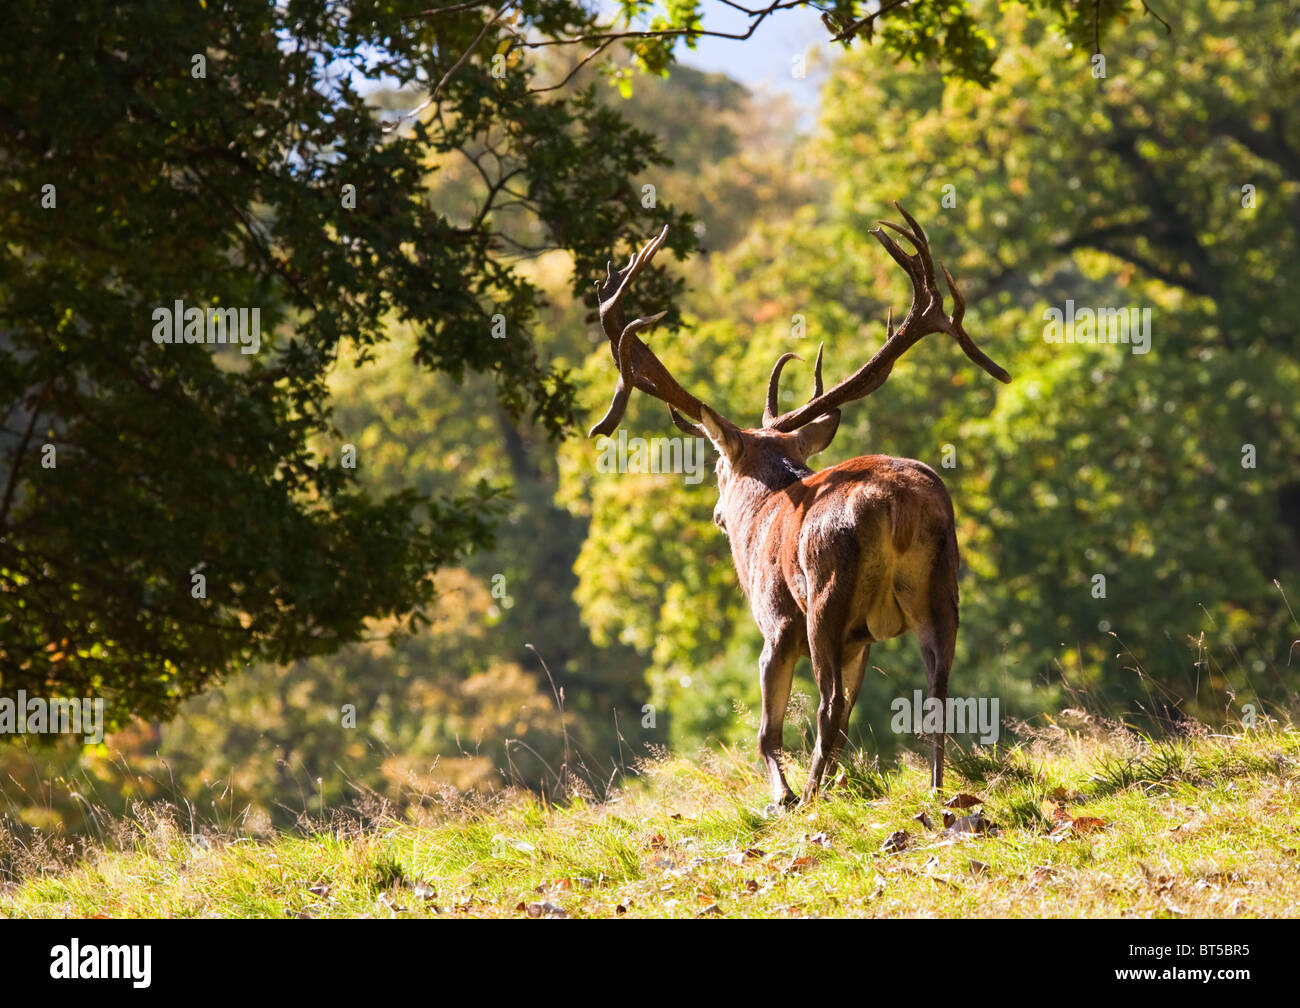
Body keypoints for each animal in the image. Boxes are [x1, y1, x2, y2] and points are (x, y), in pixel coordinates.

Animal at [587, 203, 1011, 806]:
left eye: (717, 469)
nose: (717, 516)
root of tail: (898, 505)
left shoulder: (775, 621)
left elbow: (768, 732)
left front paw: (782, 796)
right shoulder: (863, 640)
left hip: (825, 597)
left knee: (829, 706)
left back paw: (809, 796)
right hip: (941, 588)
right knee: (937, 692)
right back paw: (935, 790)